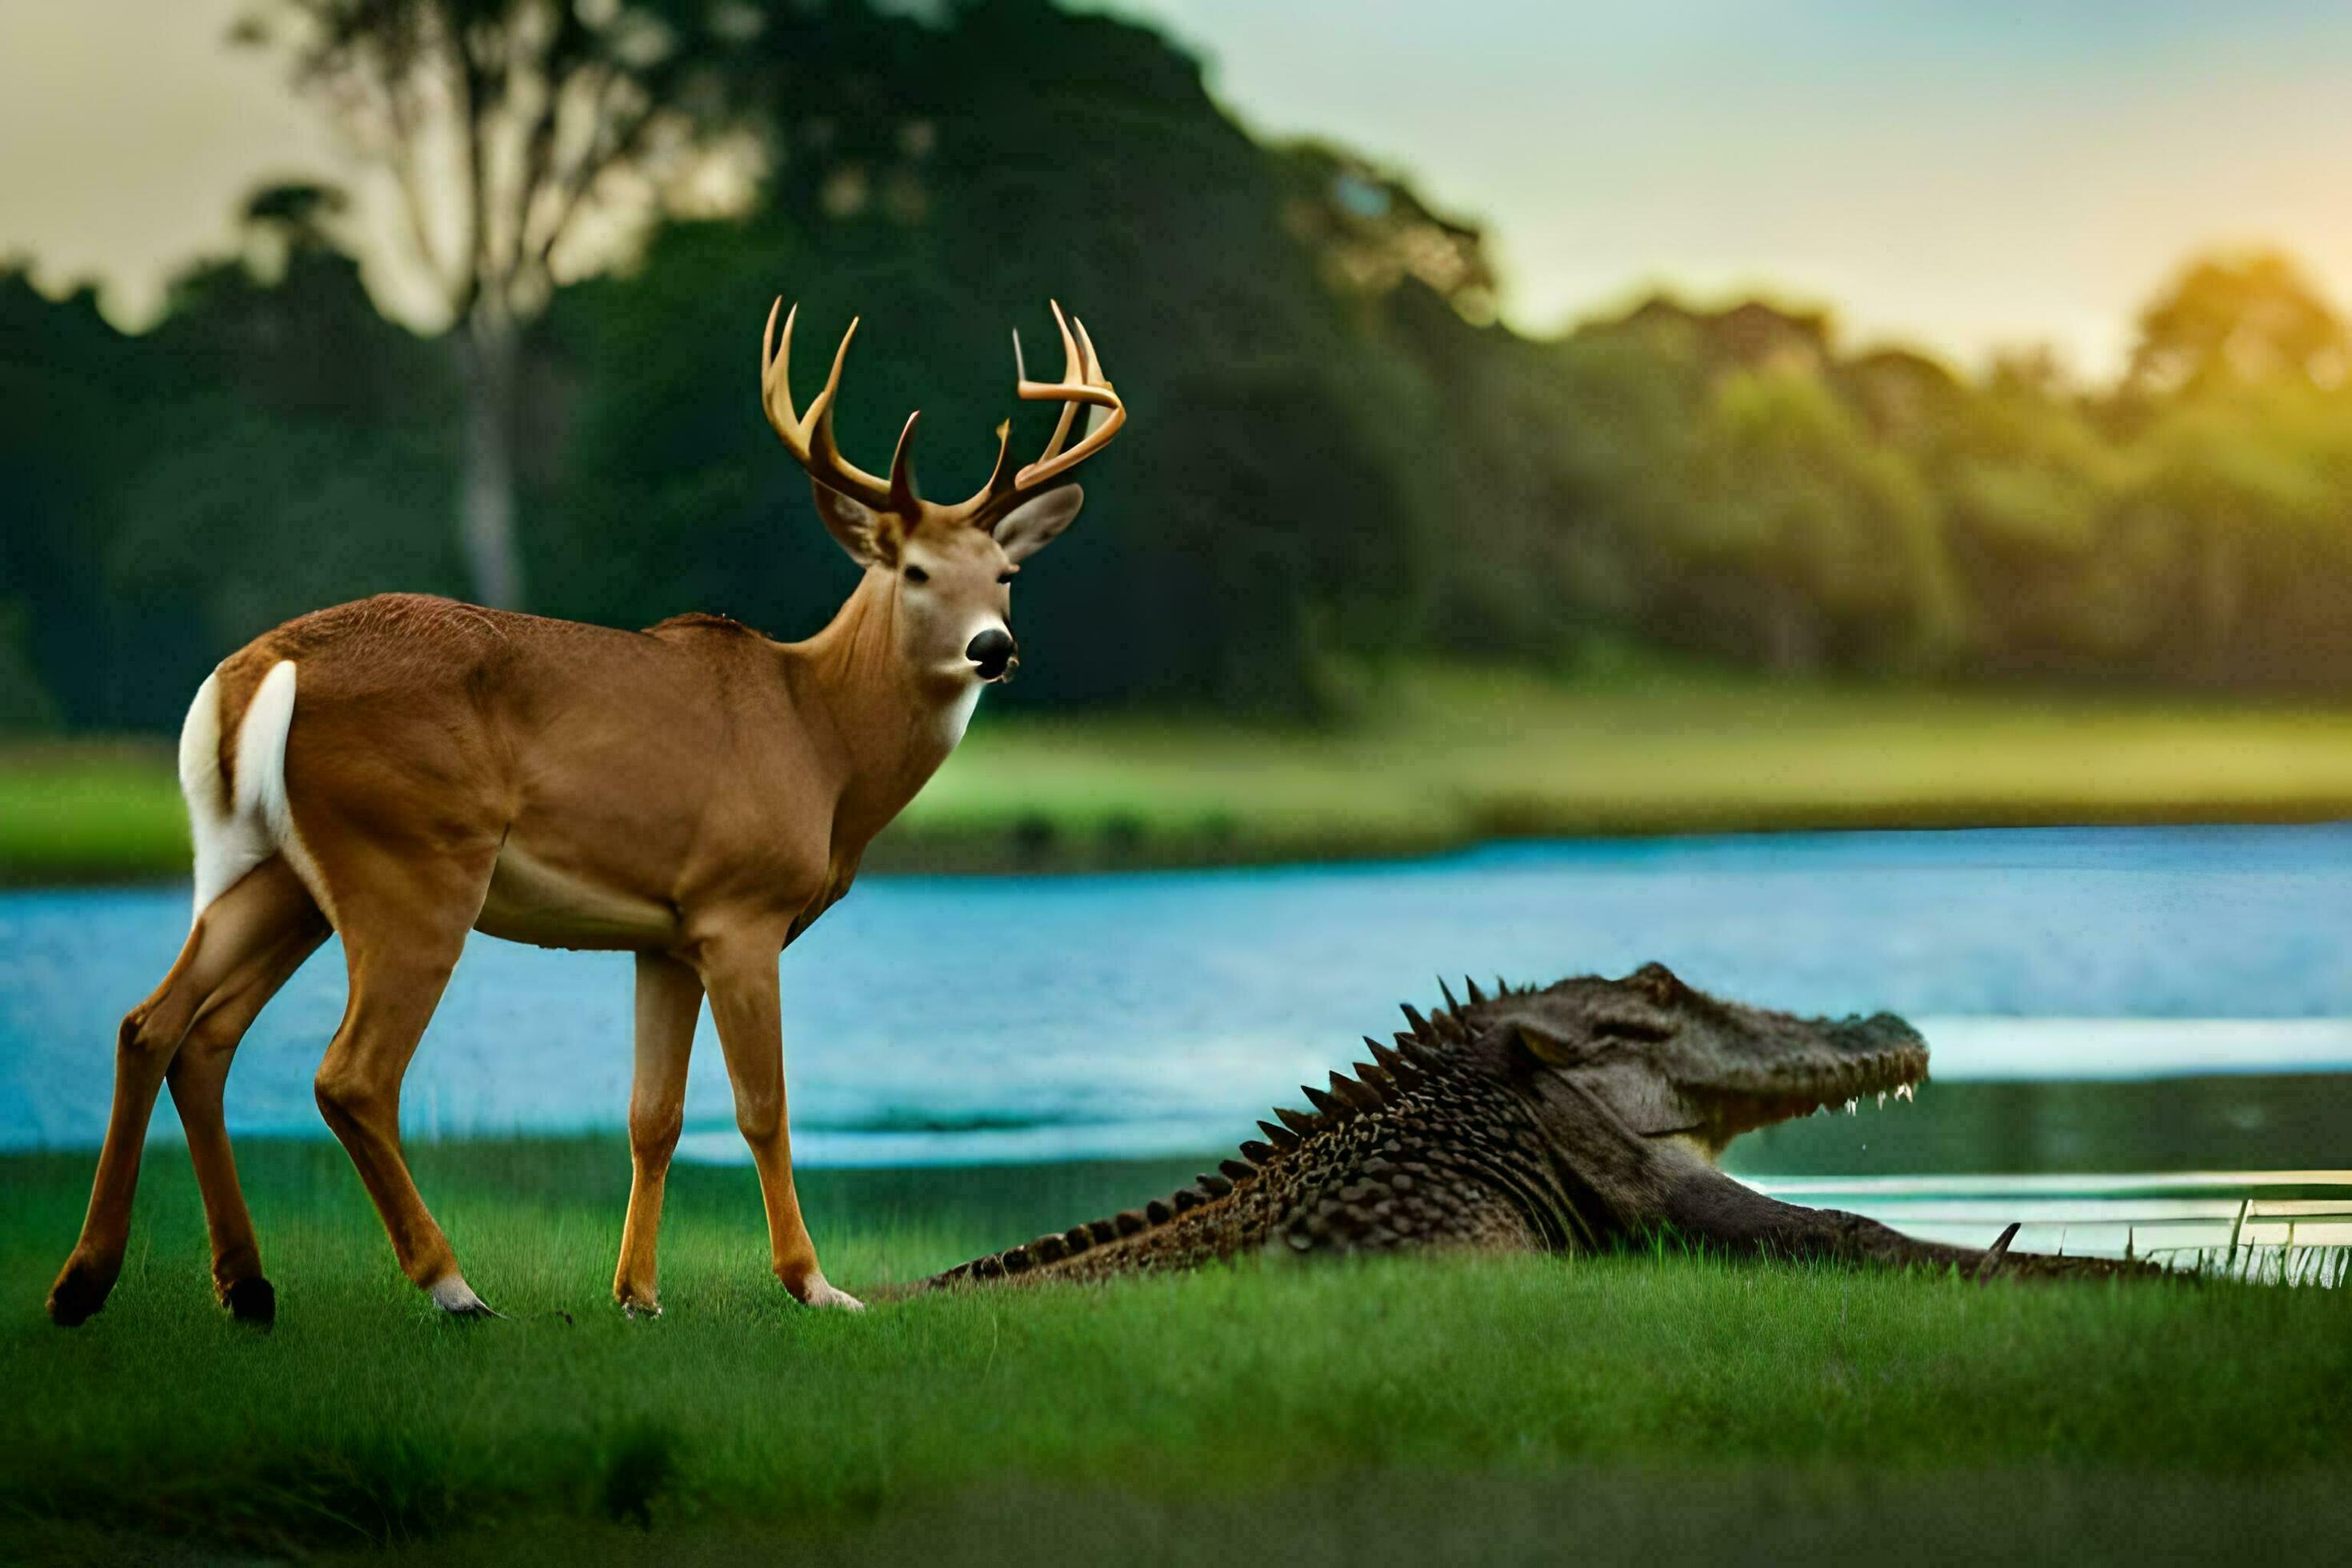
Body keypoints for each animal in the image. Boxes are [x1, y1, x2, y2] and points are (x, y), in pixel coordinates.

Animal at [45, 298, 1126, 1327]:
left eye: (1007, 574)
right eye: (913, 570)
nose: (993, 648)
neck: (821, 741)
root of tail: (264, 669)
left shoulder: (665, 936)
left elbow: (654, 1114)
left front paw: (637, 1293)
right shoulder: (740, 909)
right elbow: (762, 1104)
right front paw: (814, 1285)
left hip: (271, 869)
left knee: (166, 1028)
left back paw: (150, 1285)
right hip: (414, 862)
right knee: (346, 1072)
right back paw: (450, 1287)